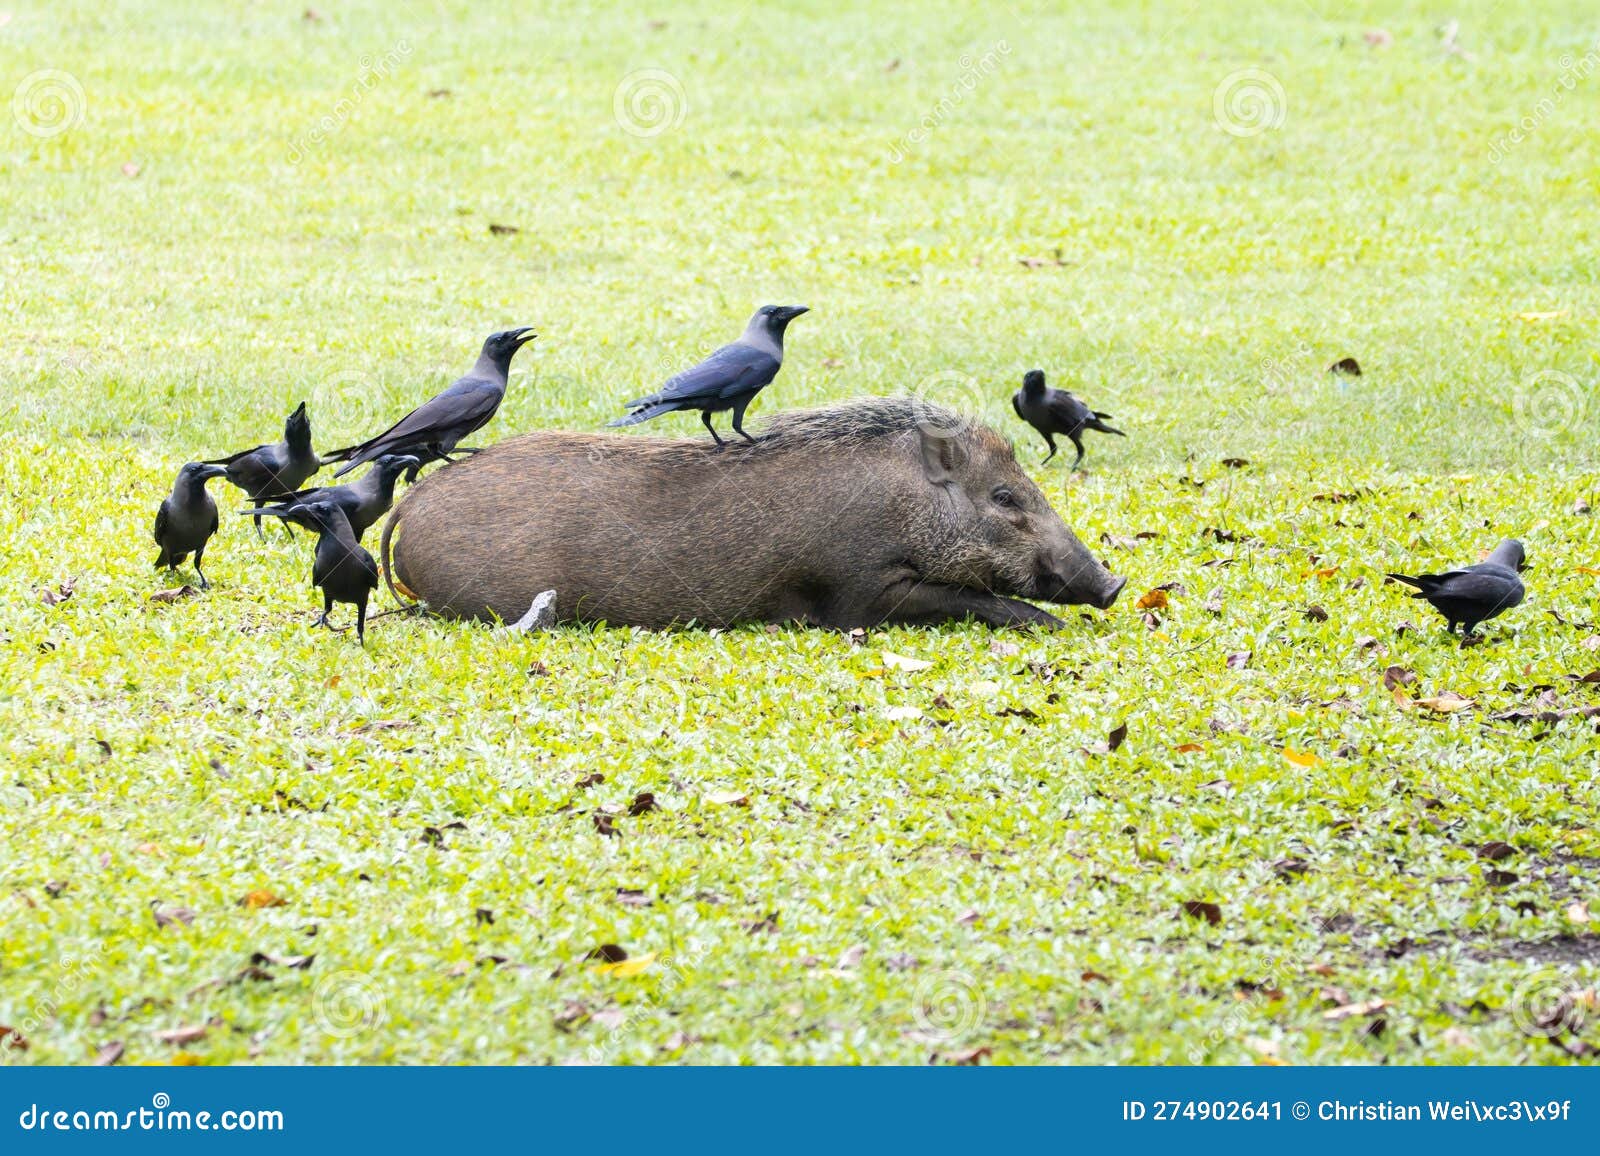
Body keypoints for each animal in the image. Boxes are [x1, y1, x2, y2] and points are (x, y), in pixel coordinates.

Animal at [381, 397, 1125, 630]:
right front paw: (1050, 625)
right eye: (1004, 496)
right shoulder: (857, 596)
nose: (1115, 583)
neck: (905, 502)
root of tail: (410, 504)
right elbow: (975, 600)